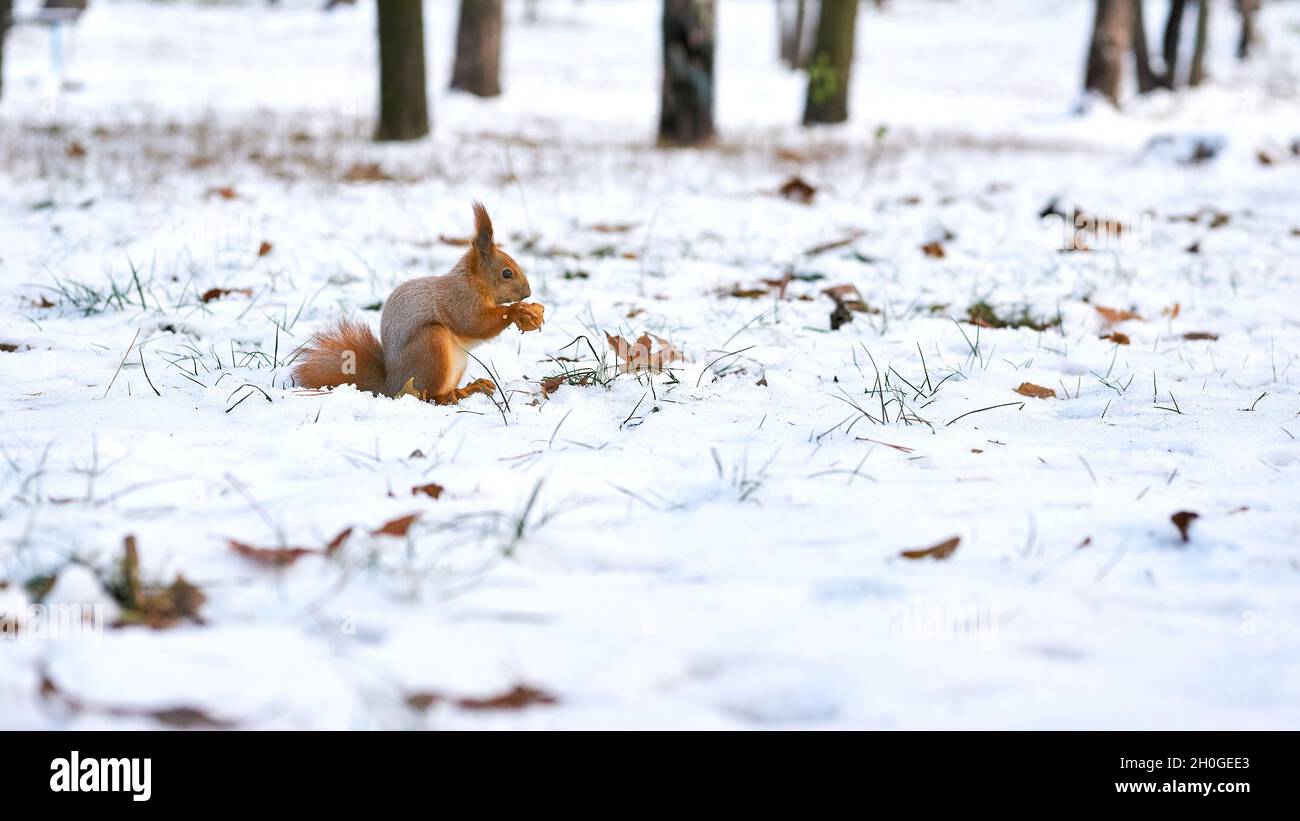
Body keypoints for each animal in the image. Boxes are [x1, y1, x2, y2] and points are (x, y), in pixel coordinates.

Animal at [294, 202, 545, 405]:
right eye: (507, 273)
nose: (528, 292)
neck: (473, 282)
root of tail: (391, 386)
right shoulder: (459, 299)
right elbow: (474, 324)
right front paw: (517, 311)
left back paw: (471, 388)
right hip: (431, 346)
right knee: (430, 394)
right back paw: (451, 395)